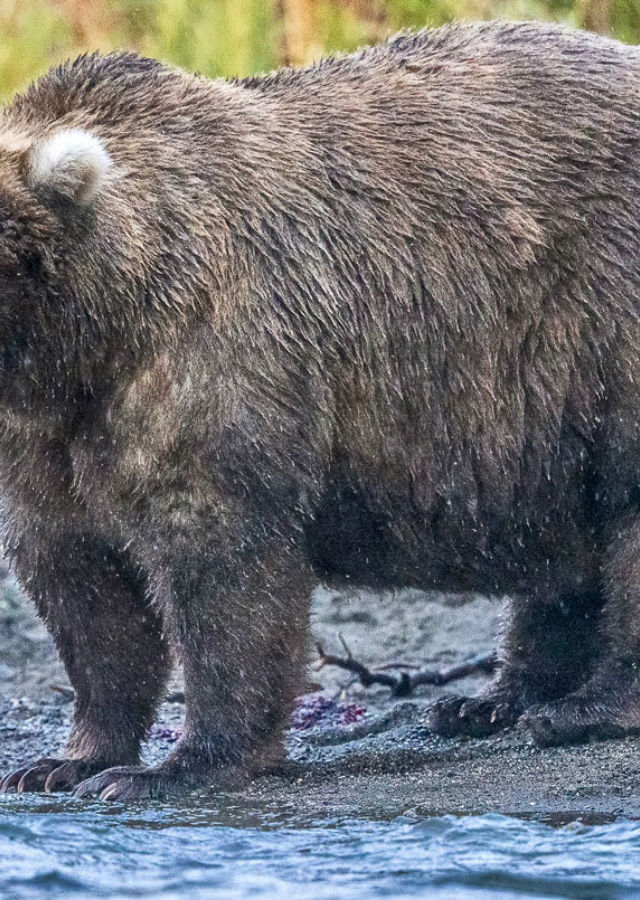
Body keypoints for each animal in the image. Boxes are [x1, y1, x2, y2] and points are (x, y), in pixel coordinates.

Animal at [0, 20, 638, 801]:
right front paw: (68, 760)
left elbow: (224, 566)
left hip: (602, 321)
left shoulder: (213, 355)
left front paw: (178, 766)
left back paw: (583, 707)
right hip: (552, 407)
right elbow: (80, 582)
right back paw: (490, 701)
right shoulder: (47, 434)